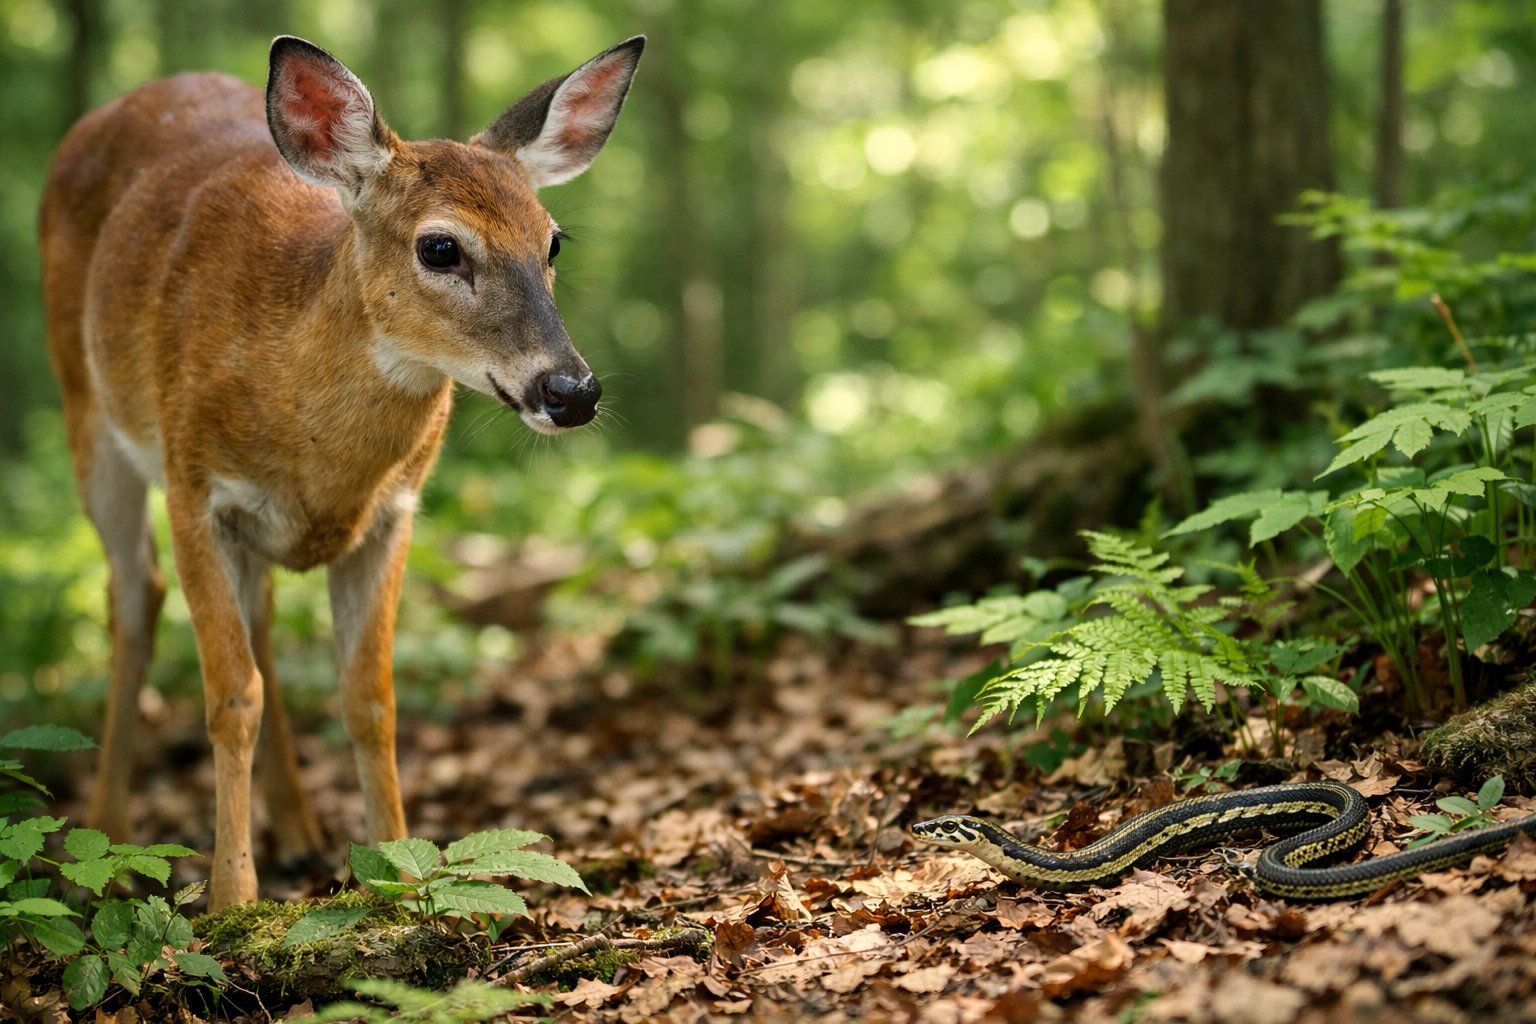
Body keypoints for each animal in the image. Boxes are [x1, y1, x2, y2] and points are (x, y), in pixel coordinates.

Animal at [39, 34, 644, 907]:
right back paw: (107, 839)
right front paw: (232, 900)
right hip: (86, 409)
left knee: (252, 617)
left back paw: (297, 829)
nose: (572, 391)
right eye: (440, 246)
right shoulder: (194, 489)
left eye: (553, 240)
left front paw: (399, 877)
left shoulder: (394, 510)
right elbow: (232, 694)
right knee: (136, 593)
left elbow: (369, 698)